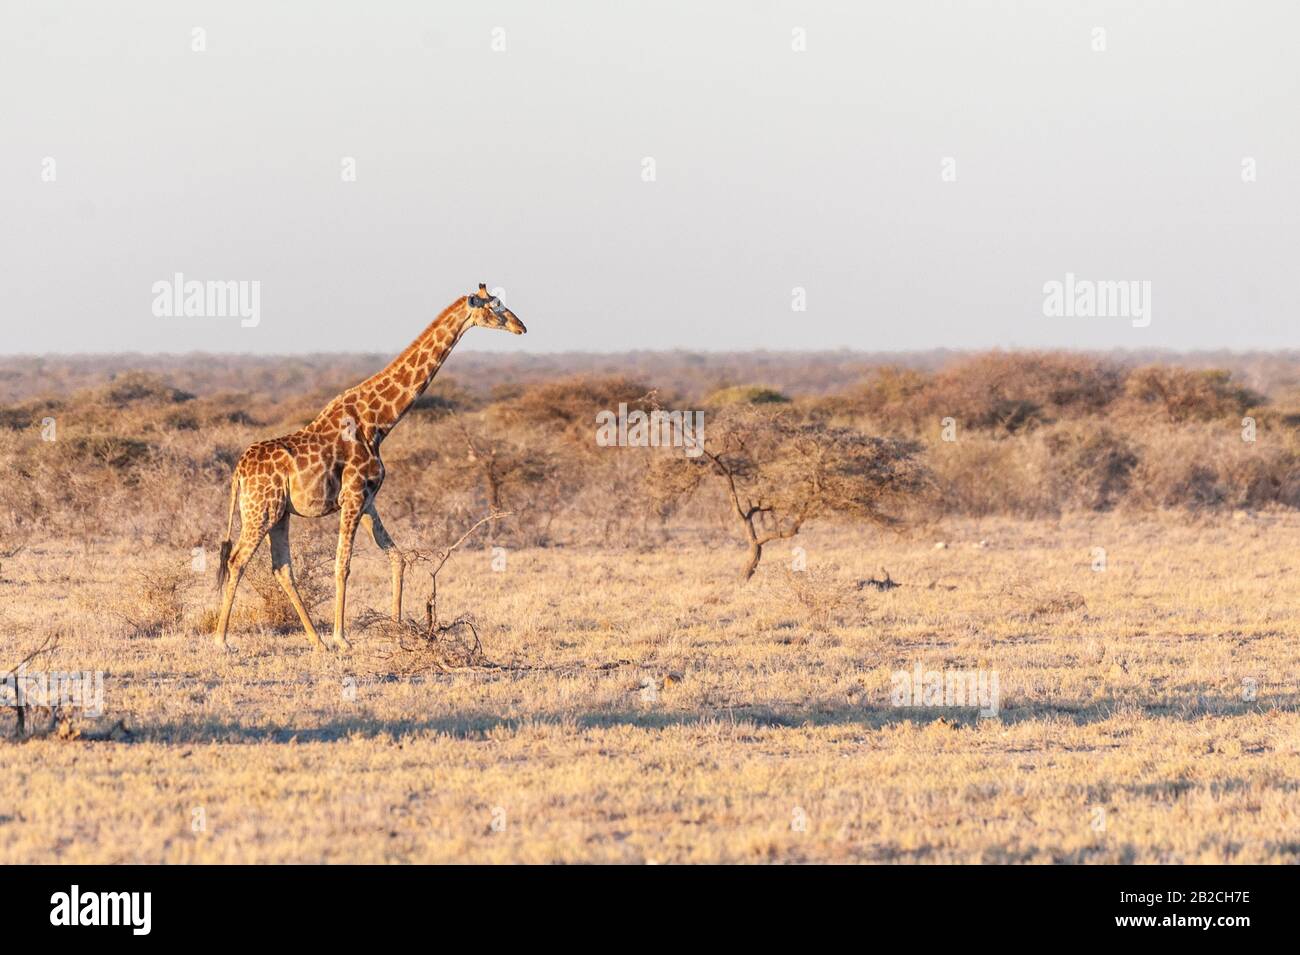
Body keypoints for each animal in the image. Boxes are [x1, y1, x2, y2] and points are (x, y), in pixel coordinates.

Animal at [212, 285, 526, 651]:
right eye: (496, 308)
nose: (521, 326)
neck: (378, 422)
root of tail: (239, 471)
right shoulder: (353, 497)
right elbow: (343, 565)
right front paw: (342, 637)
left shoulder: (367, 500)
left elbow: (397, 557)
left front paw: (396, 628)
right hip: (261, 510)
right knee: (237, 559)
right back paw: (222, 641)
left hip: (280, 514)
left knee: (282, 567)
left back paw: (315, 640)